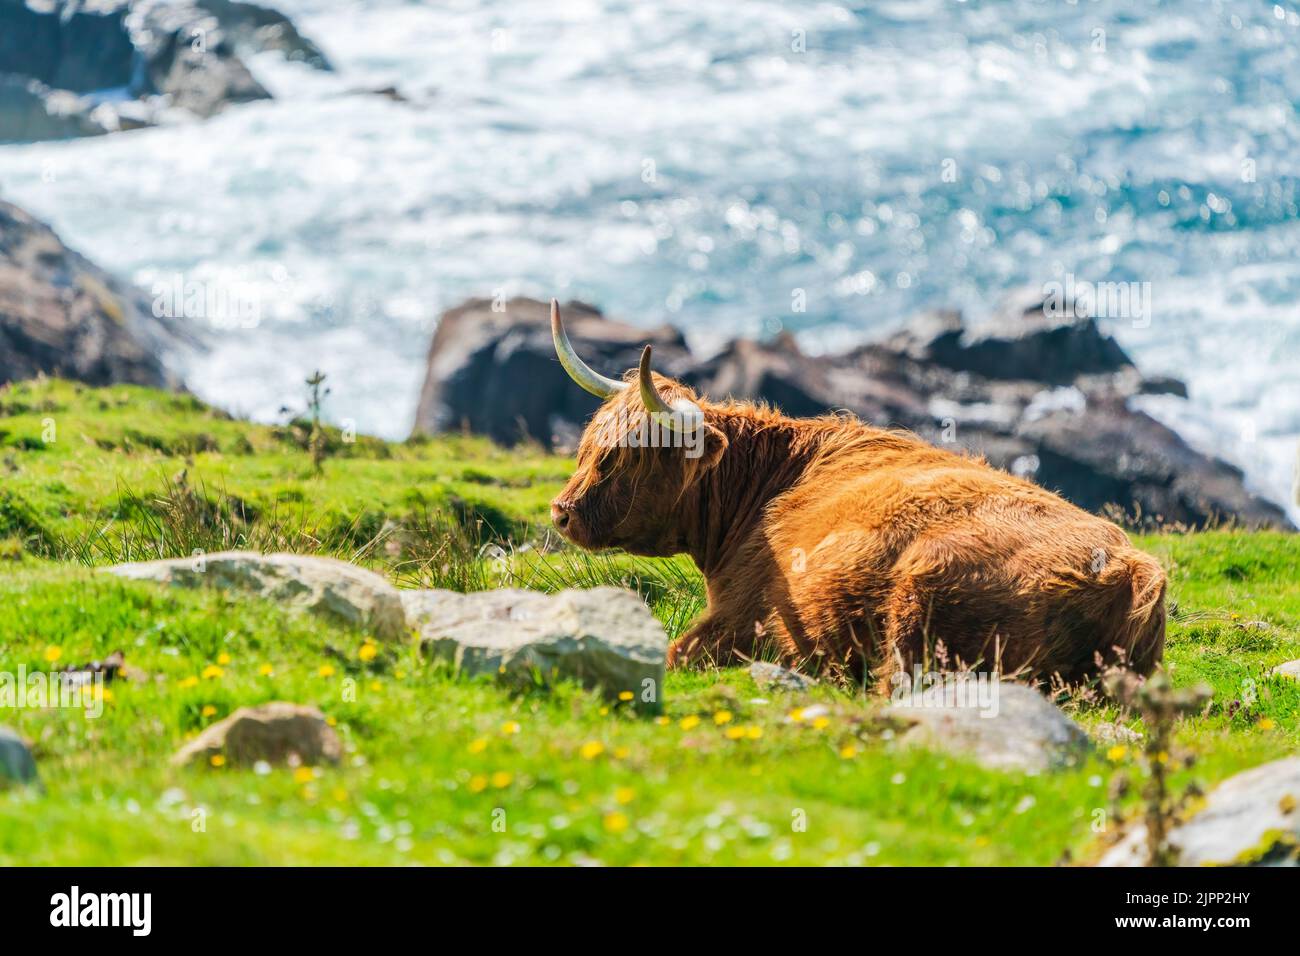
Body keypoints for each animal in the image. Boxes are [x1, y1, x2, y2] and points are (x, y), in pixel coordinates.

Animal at [546, 301, 1167, 688]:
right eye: (588, 445)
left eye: (625, 456)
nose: (562, 512)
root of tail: (1127, 567)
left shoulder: (739, 616)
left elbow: (674, 654)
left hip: (921, 603)